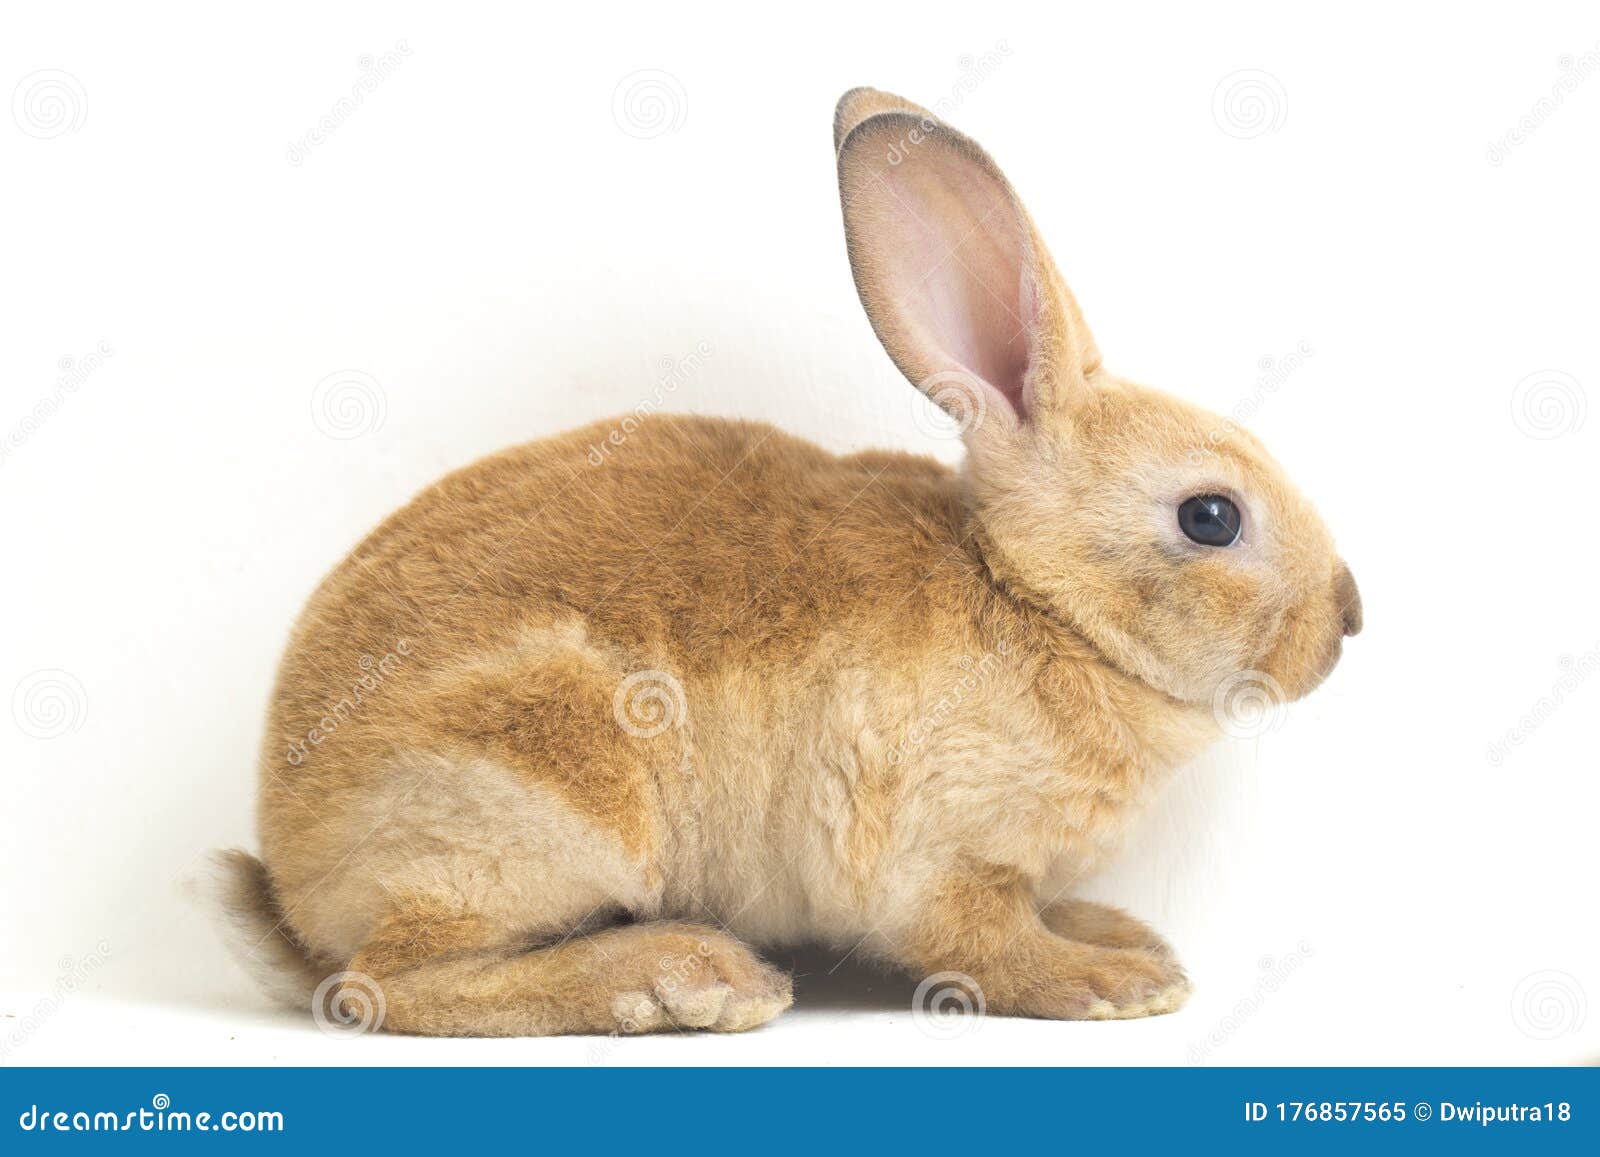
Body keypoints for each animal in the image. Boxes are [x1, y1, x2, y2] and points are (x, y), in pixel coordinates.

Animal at [211, 86, 1361, 1036]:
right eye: (1211, 516)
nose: (1347, 619)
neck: (1034, 597)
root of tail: (294, 871)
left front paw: (1116, 933)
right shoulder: (934, 854)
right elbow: (981, 941)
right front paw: (1113, 982)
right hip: (547, 784)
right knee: (388, 983)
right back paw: (691, 980)